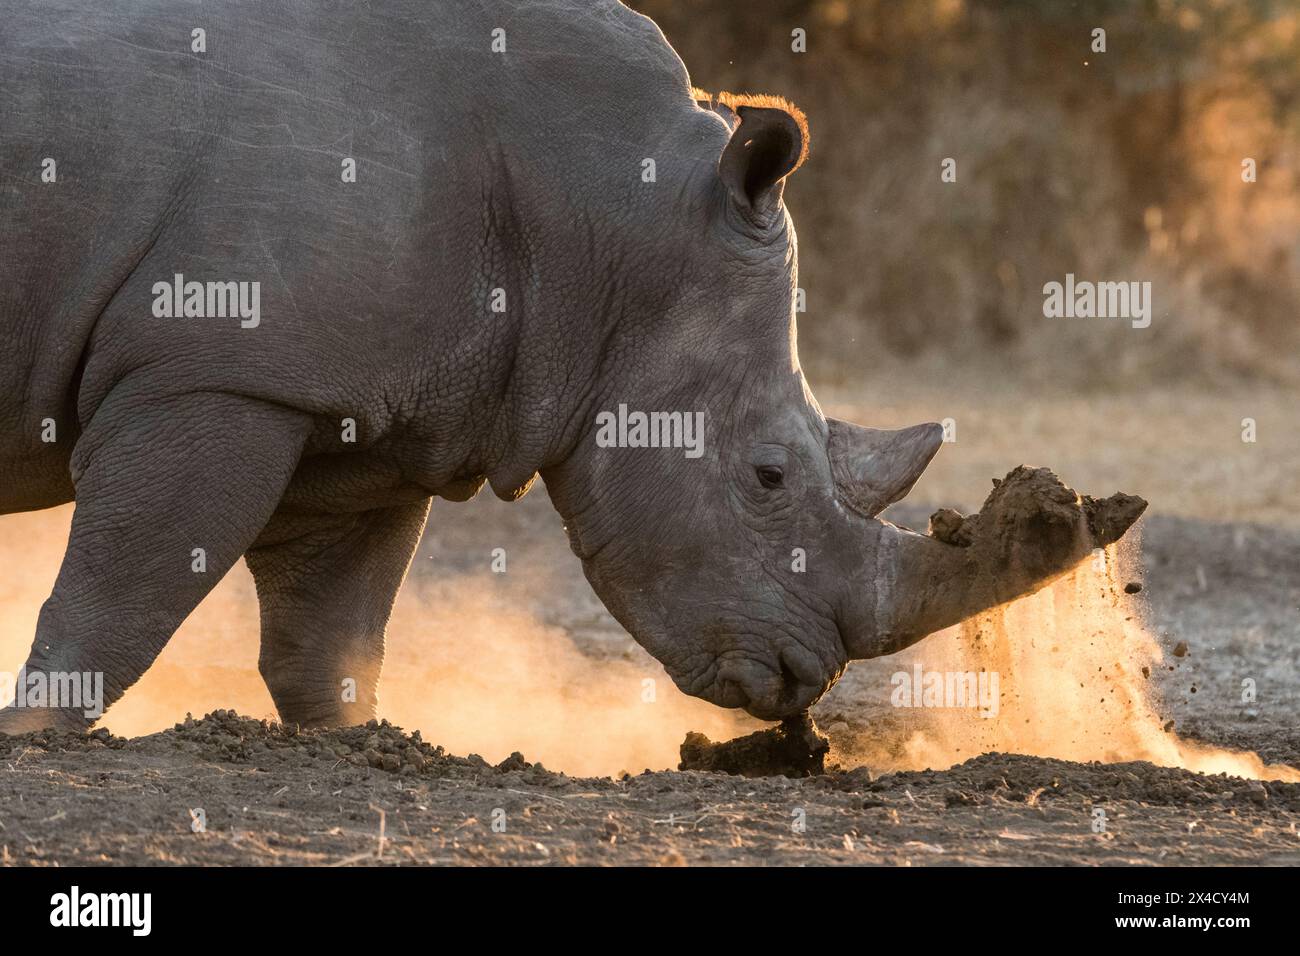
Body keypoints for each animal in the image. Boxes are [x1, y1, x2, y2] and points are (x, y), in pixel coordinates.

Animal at [0, 0, 1142, 734]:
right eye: (768, 477)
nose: (804, 682)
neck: (610, 221)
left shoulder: (370, 410)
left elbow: (333, 627)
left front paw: (356, 744)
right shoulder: (218, 373)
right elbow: (128, 582)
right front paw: (36, 739)